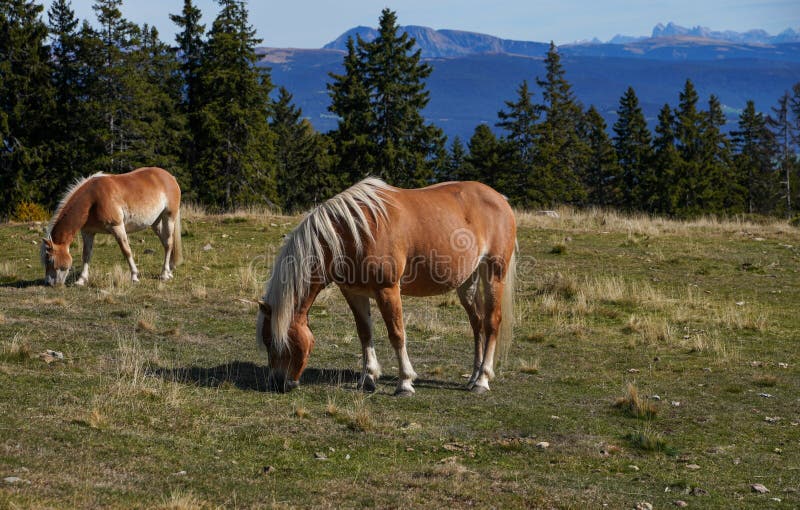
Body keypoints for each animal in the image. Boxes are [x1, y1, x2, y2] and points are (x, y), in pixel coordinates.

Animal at [41, 167, 182, 286]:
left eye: (50, 259)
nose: (48, 283)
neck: (93, 200)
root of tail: (170, 177)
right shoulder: (87, 232)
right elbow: (86, 255)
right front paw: (81, 280)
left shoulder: (117, 227)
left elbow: (126, 251)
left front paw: (134, 276)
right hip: (155, 223)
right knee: (165, 243)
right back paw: (169, 271)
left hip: (169, 217)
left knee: (168, 243)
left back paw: (164, 274)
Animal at [256, 178, 517, 396]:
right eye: (267, 342)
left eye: (277, 342)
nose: (277, 384)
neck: (353, 233)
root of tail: (500, 199)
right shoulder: (353, 292)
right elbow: (364, 333)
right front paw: (367, 378)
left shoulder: (388, 290)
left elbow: (397, 333)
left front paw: (405, 383)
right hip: (467, 283)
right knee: (477, 324)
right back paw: (473, 376)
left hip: (494, 274)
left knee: (492, 322)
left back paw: (482, 380)